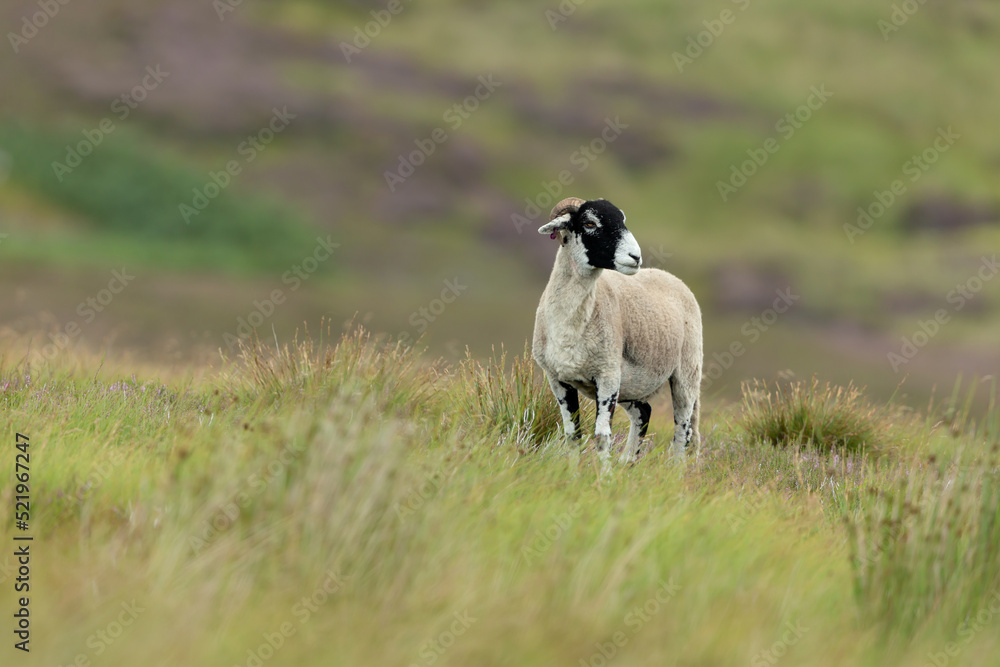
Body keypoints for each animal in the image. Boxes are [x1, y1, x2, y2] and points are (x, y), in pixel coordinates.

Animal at [532, 196, 703, 463]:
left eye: (622, 220)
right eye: (590, 223)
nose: (635, 256)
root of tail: (669, 275)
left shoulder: (608, 375)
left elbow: (602, 437)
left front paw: (604, 474)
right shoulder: (558, 379)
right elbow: (573, 436)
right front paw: (572, 471)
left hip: (686, 372)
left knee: (682, 432)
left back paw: (676, 470)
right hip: (632, 383)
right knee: (644, 411)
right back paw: (628, 462)